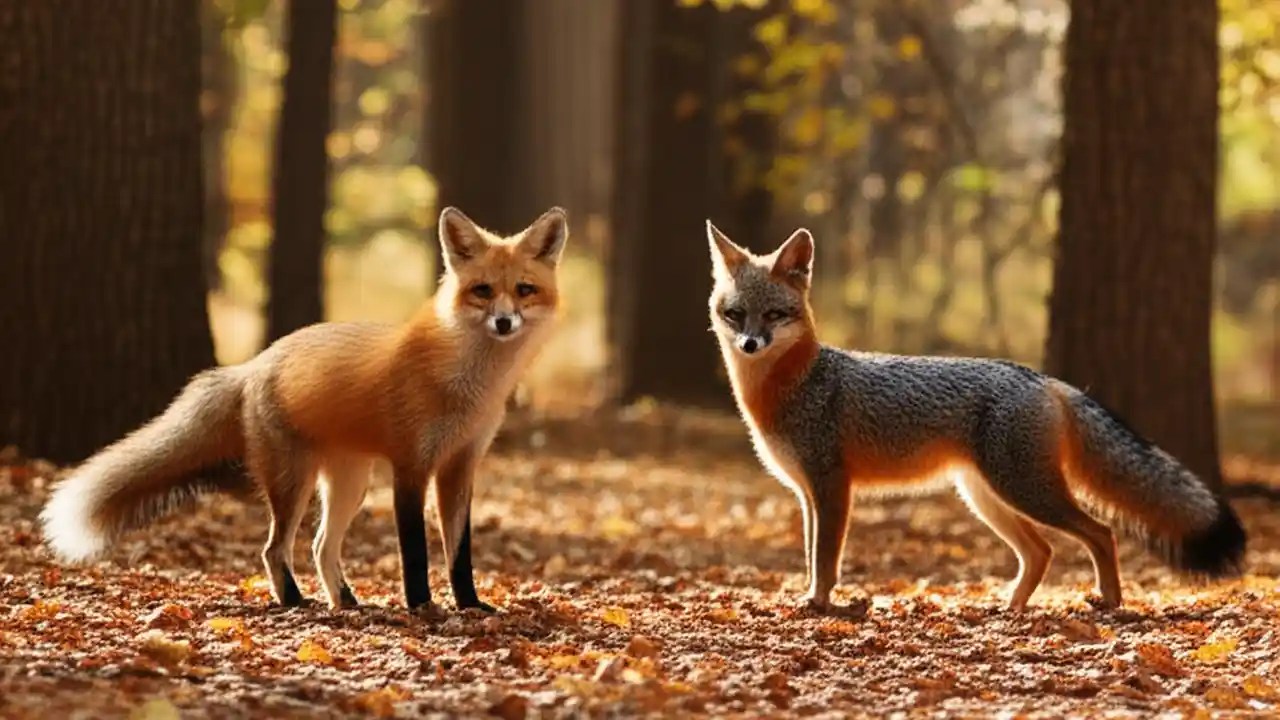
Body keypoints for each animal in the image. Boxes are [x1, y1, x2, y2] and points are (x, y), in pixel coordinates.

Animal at [41, 206, 569, 614]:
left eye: (524, 290)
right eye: (483, 291)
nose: (504, 322)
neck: (469, 385)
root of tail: (256, 363)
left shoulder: (459, 466)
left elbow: (460, 553)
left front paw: (470, 605)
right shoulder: (411, 467)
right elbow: (416, 554)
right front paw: (422, 607)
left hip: (350, 486)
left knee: (318, 547)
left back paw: (346, 602)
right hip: (293, 482)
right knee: (274, 548)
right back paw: (295, 600)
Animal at [705, 221, 1246, 612]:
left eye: (773, 315)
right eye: (735, 315)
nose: (750, 344)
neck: (794, 386)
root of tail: (1042, 378)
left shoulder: (832, 487)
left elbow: (824, 558)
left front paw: (818, 602)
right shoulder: (807, 493)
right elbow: (810, 553)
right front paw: (812, 597)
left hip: (1023, 491)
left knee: (1099, 532)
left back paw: (1109, 603)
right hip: (988, 497)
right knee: (1042, 551)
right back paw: (1010, 608)